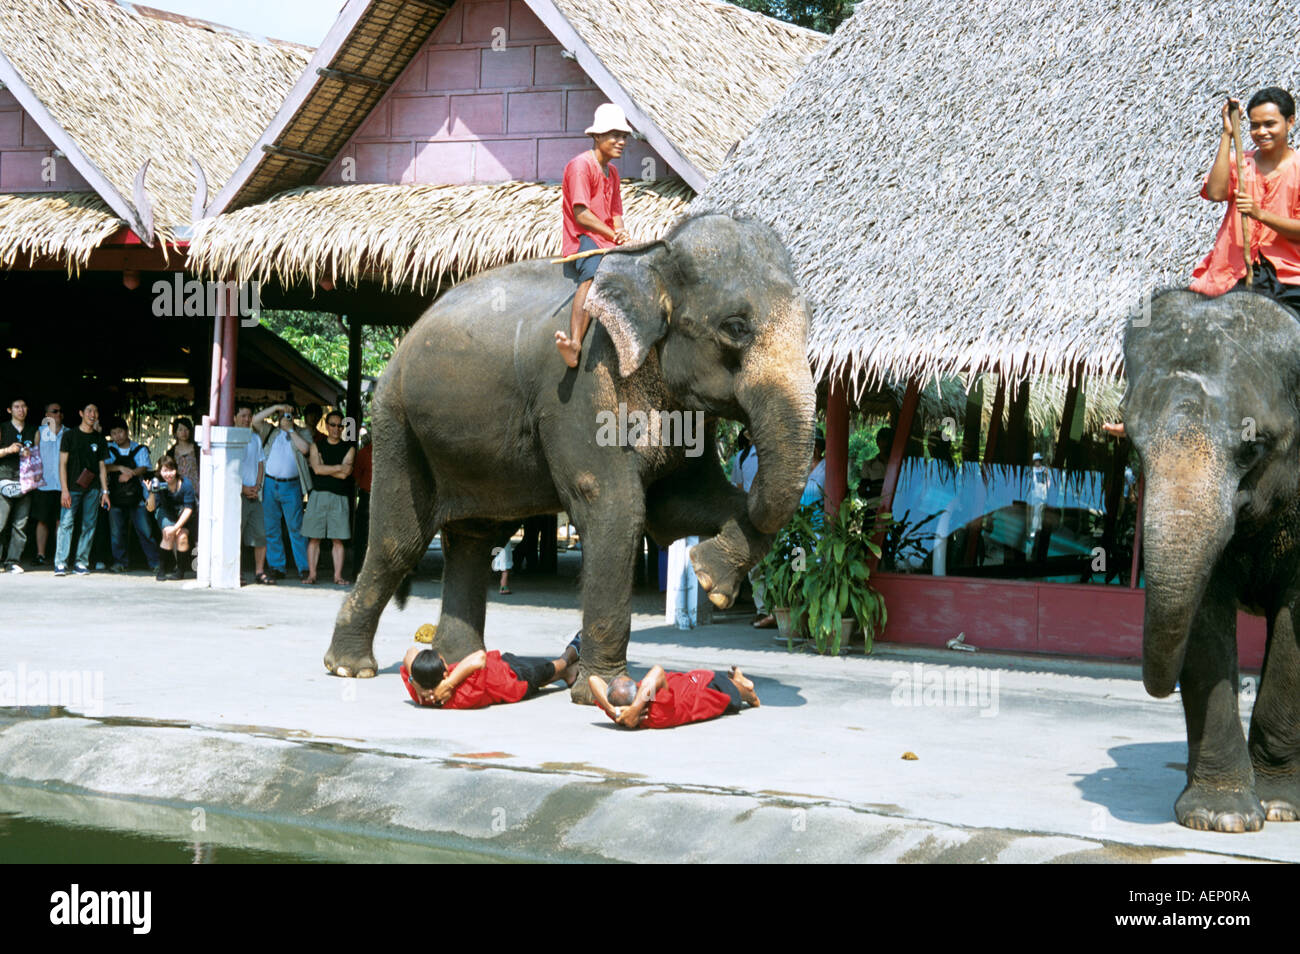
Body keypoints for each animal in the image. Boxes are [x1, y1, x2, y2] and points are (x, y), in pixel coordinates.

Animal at [324, 213, 816, 701]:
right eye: (736, 327)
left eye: (811, 323)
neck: (653, 256)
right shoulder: (578, 391)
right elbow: (616, 508)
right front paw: (606, 688)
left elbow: (679, 504)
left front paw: (712, 579)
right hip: (396, 421)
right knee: (398, 541)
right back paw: (352, 669)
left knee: (472, 539)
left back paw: (460, 661)